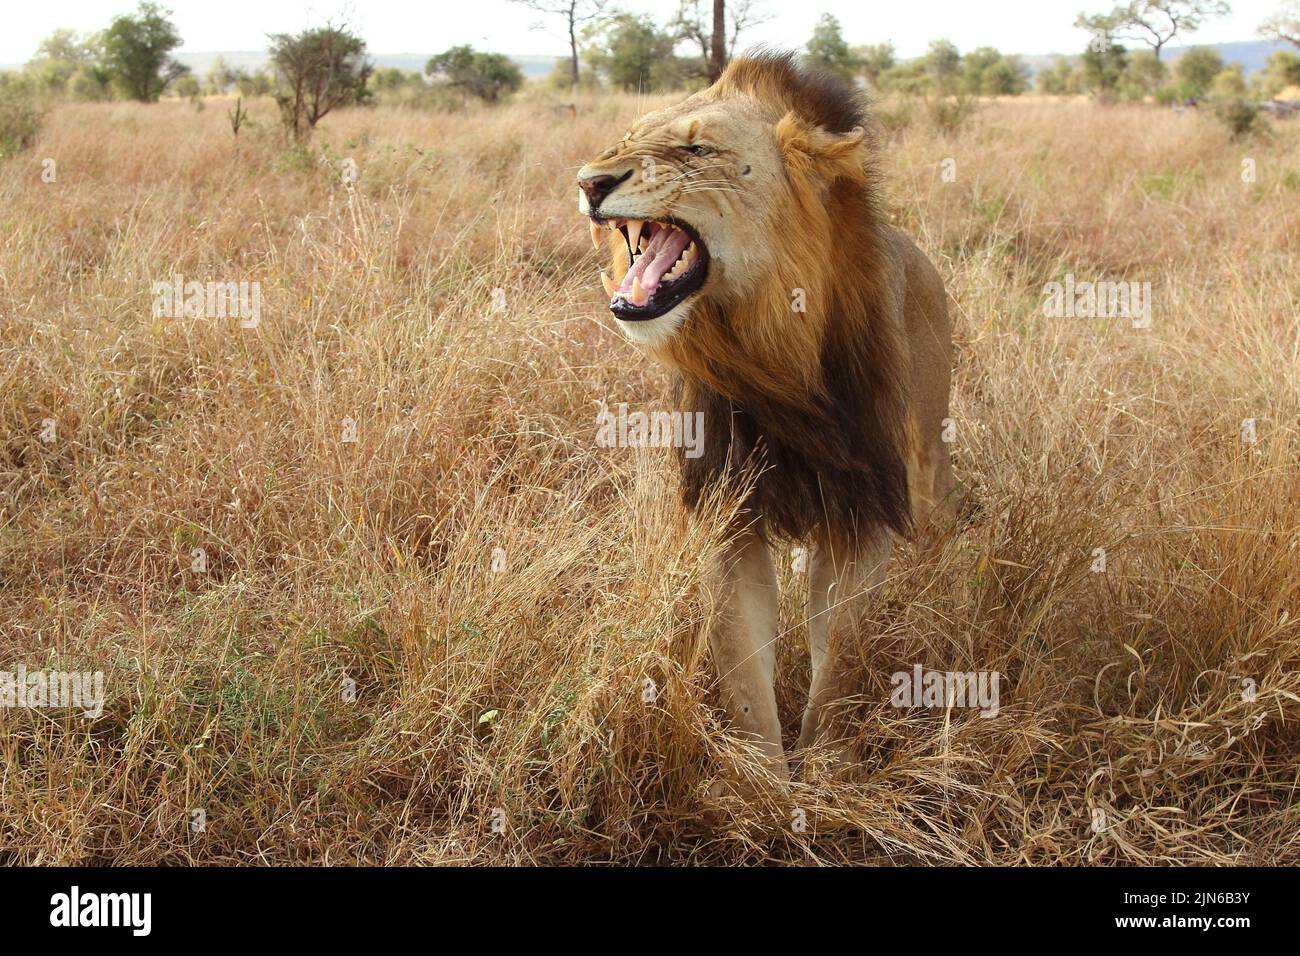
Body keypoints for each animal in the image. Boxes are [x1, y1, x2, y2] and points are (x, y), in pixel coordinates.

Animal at [576, 52, 956, 779]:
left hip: (929, 460)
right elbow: (746, 673)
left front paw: (827, 775)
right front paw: (762, 786)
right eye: (628, 137)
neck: (772, 352)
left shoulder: (863, 508)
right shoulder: (727, 513)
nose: (588, 181)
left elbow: (840, 660)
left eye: (697, 150)